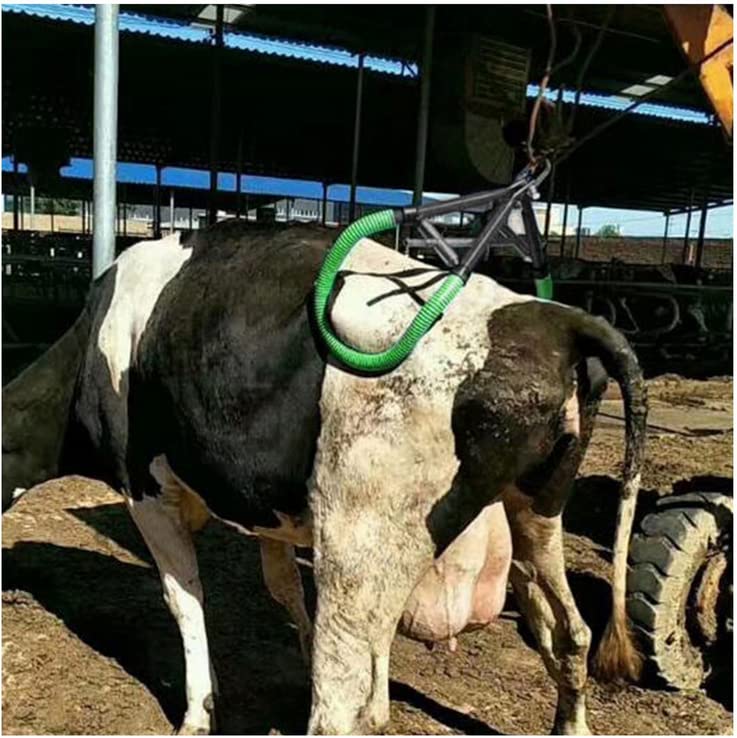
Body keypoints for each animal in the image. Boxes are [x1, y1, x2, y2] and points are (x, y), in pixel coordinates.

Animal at [2, 220, 646, 735]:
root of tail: (557, 320)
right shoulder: (263, 510)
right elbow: (283, 587)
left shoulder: (146, 491)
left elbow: (184, 598)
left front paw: (197, 711)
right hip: (536, 509)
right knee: (571, 633)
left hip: (359, 542)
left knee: (338, 703)